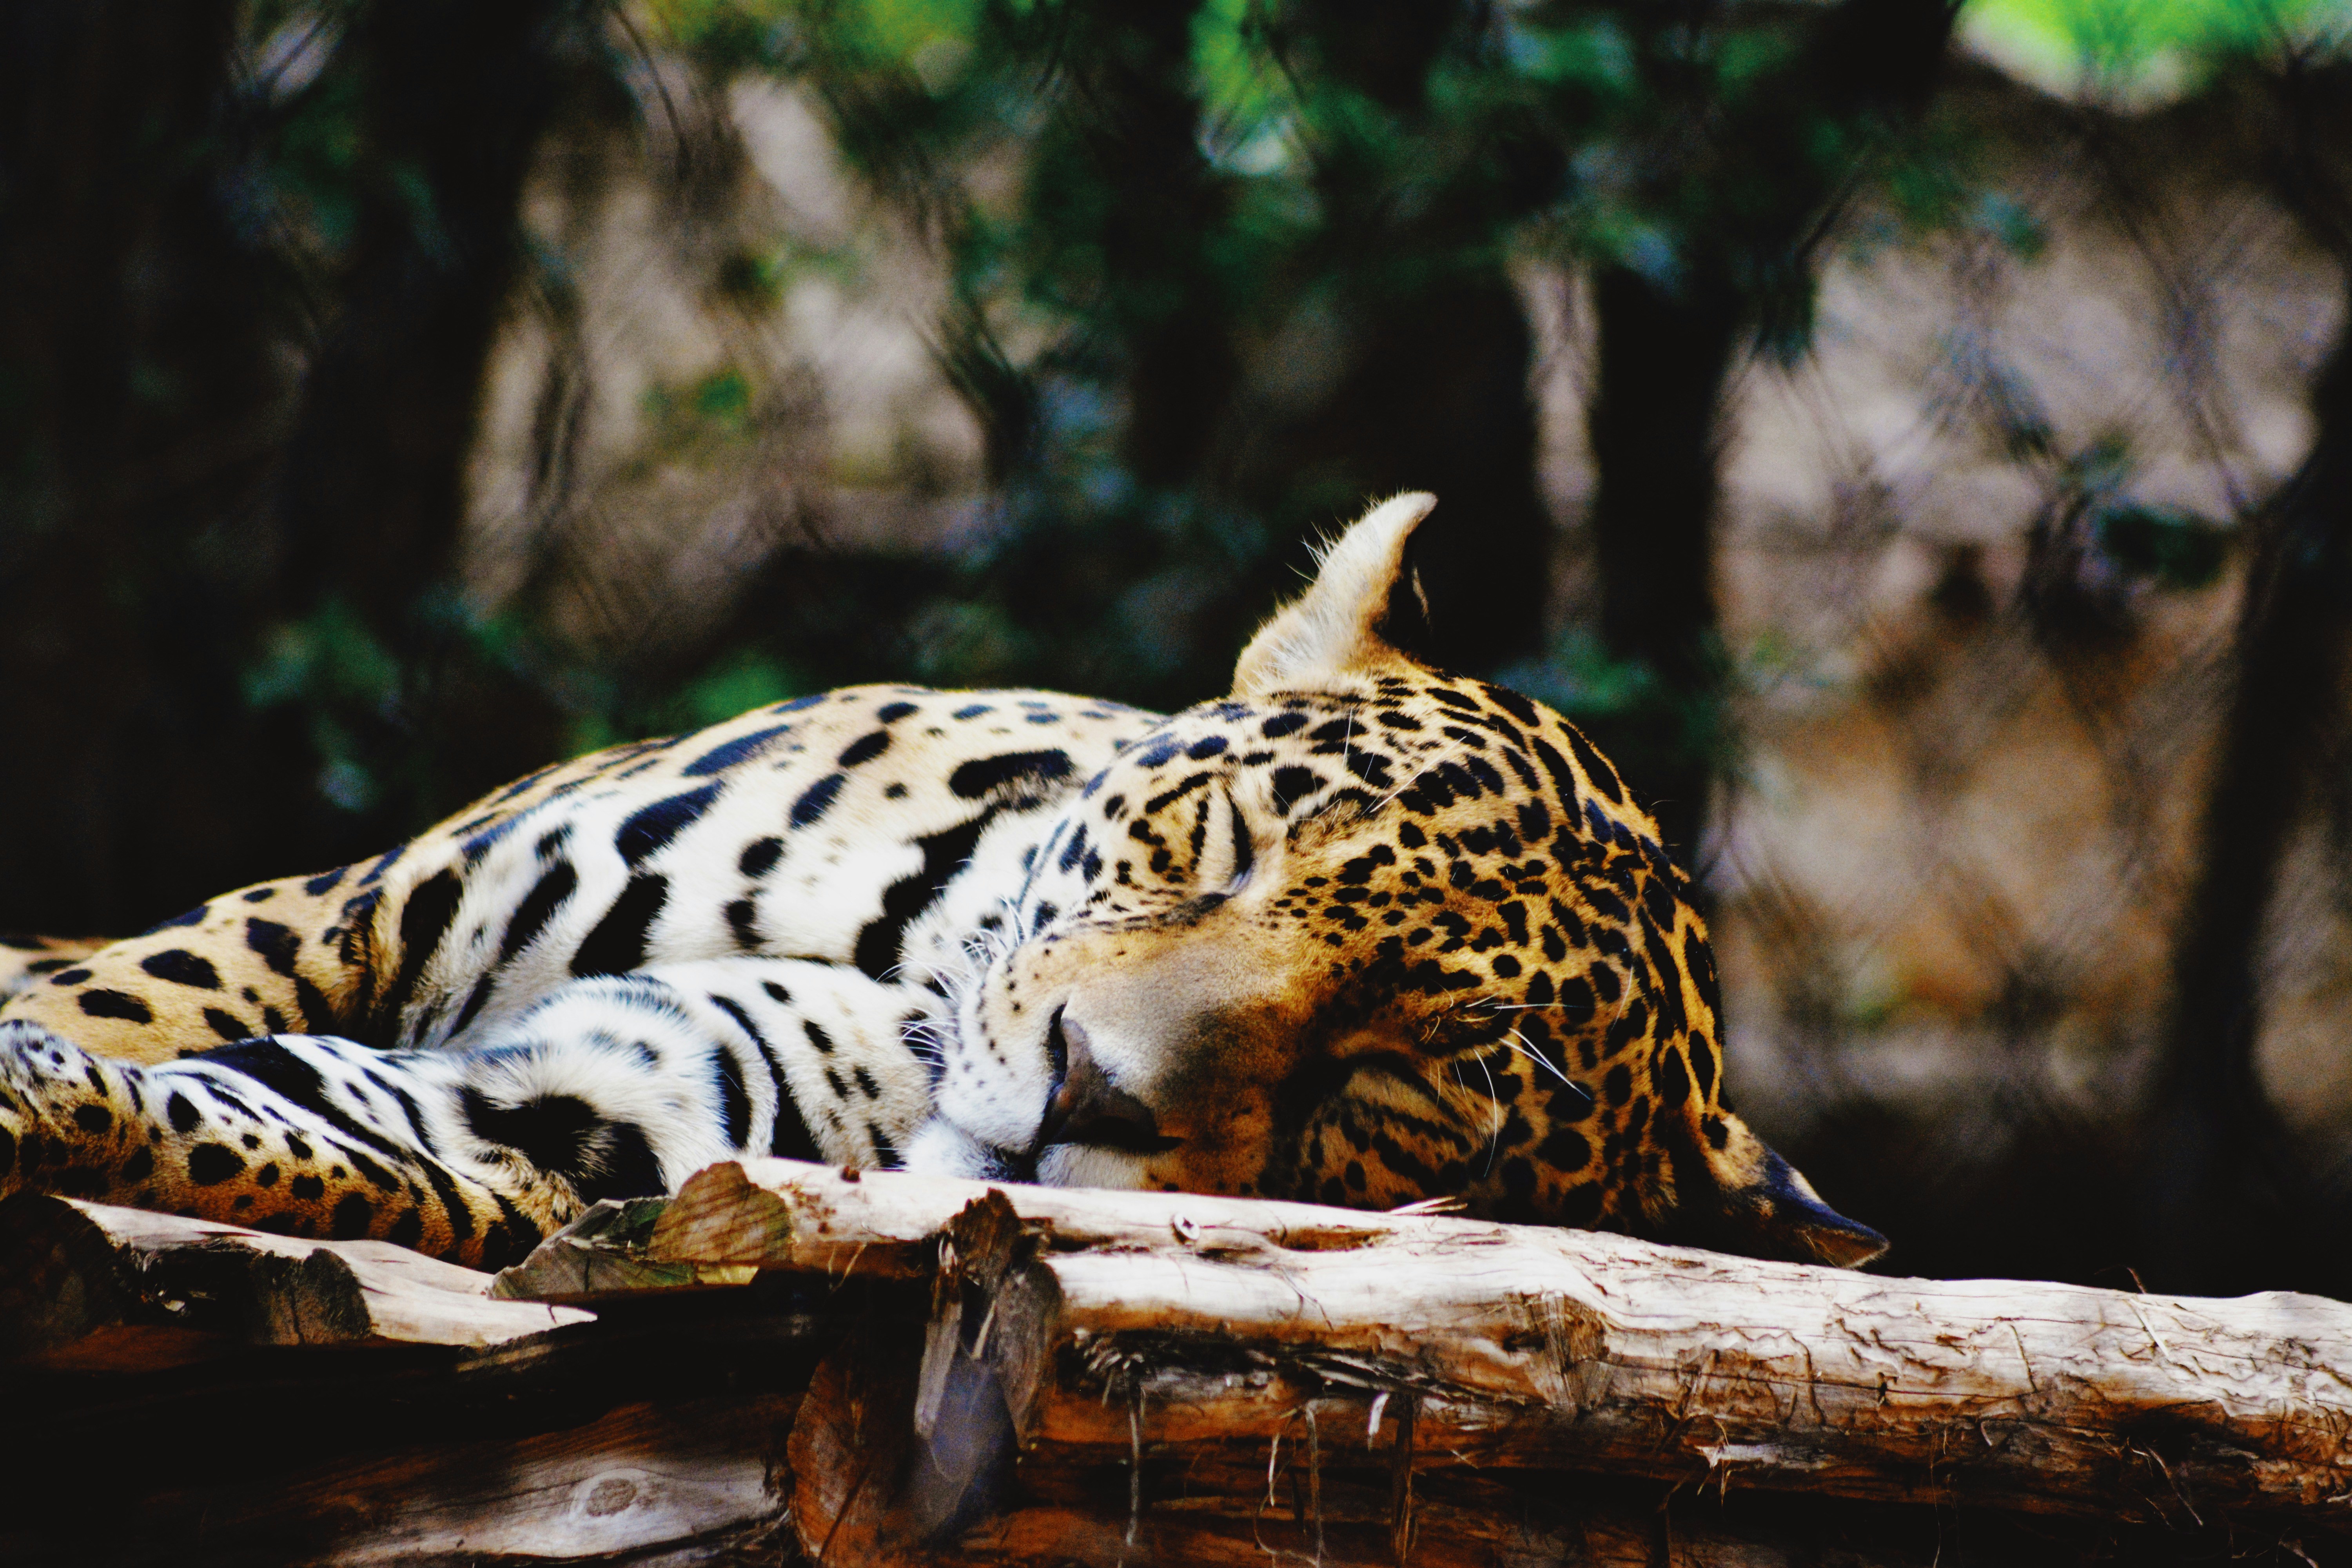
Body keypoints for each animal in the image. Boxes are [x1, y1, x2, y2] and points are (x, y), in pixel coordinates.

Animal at [0, 494, 1885, 1273]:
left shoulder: (553, 1142)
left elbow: (287, 1141)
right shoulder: (361, 903)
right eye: (1225, 837)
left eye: (1404, 1086)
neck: (889, 963)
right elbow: (149, 992)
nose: (1085, 1089)